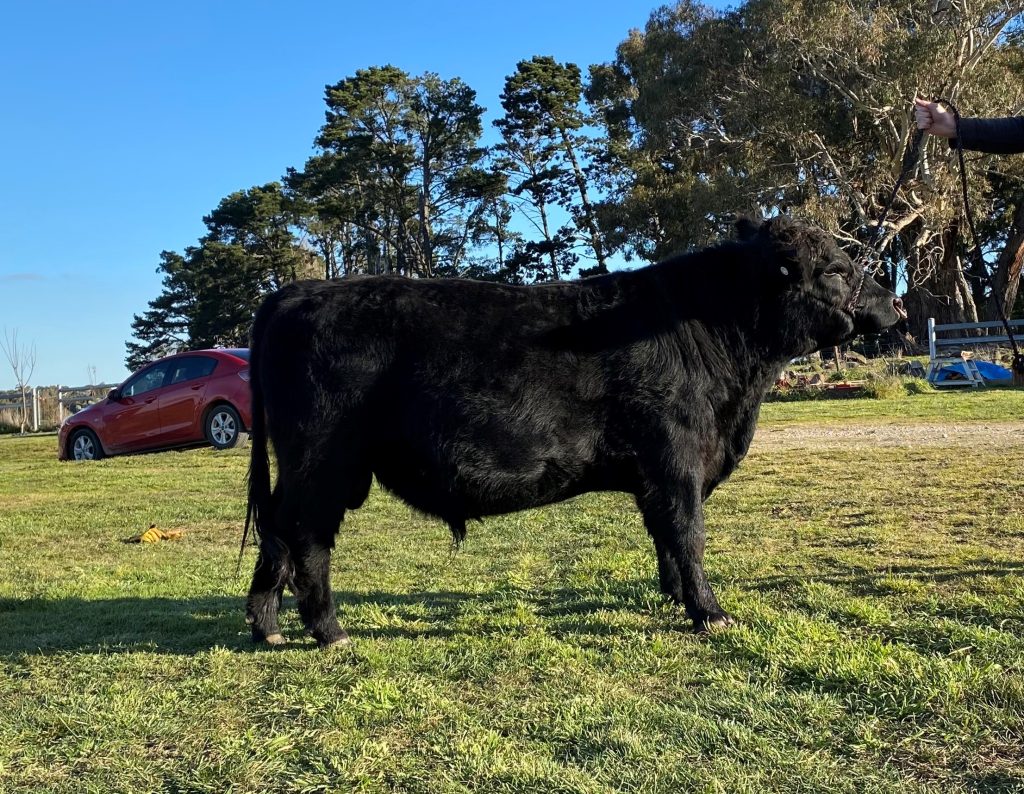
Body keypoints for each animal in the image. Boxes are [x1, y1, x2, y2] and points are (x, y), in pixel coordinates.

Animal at [243, 216, 906, 647]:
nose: (894, 303)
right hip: (325, 465)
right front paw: (709, 612)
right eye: (837, 269)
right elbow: (687, 534)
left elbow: (664, 536)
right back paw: (328, 631)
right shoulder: (676, 459)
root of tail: (297, 291)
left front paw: (672, 597)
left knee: (276, 531)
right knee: (306, 538)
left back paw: (267, 625)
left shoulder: (656, 473)